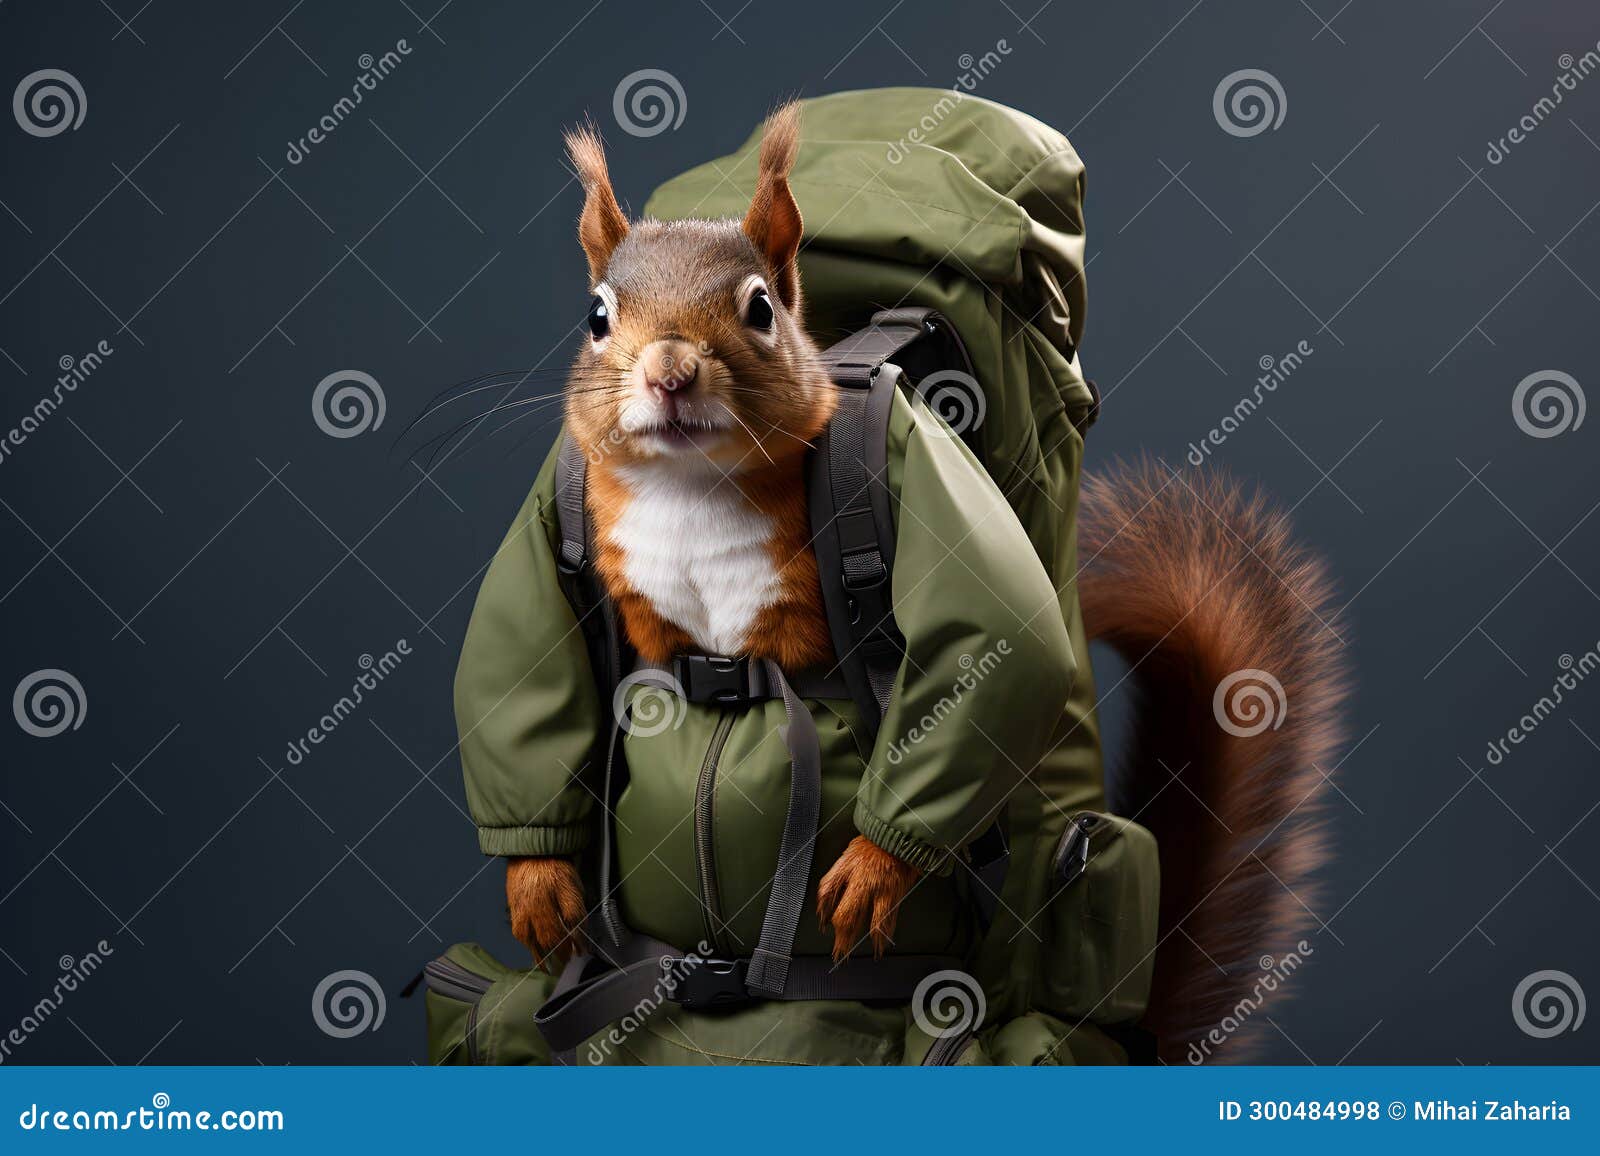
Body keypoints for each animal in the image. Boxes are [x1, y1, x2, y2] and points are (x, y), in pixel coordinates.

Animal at [508, 103, 915, 969]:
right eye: (596, 317)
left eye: (761, 310)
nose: (669, 373)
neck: (691, 479)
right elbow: (528, 662)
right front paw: (539, 887)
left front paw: (875, 872)